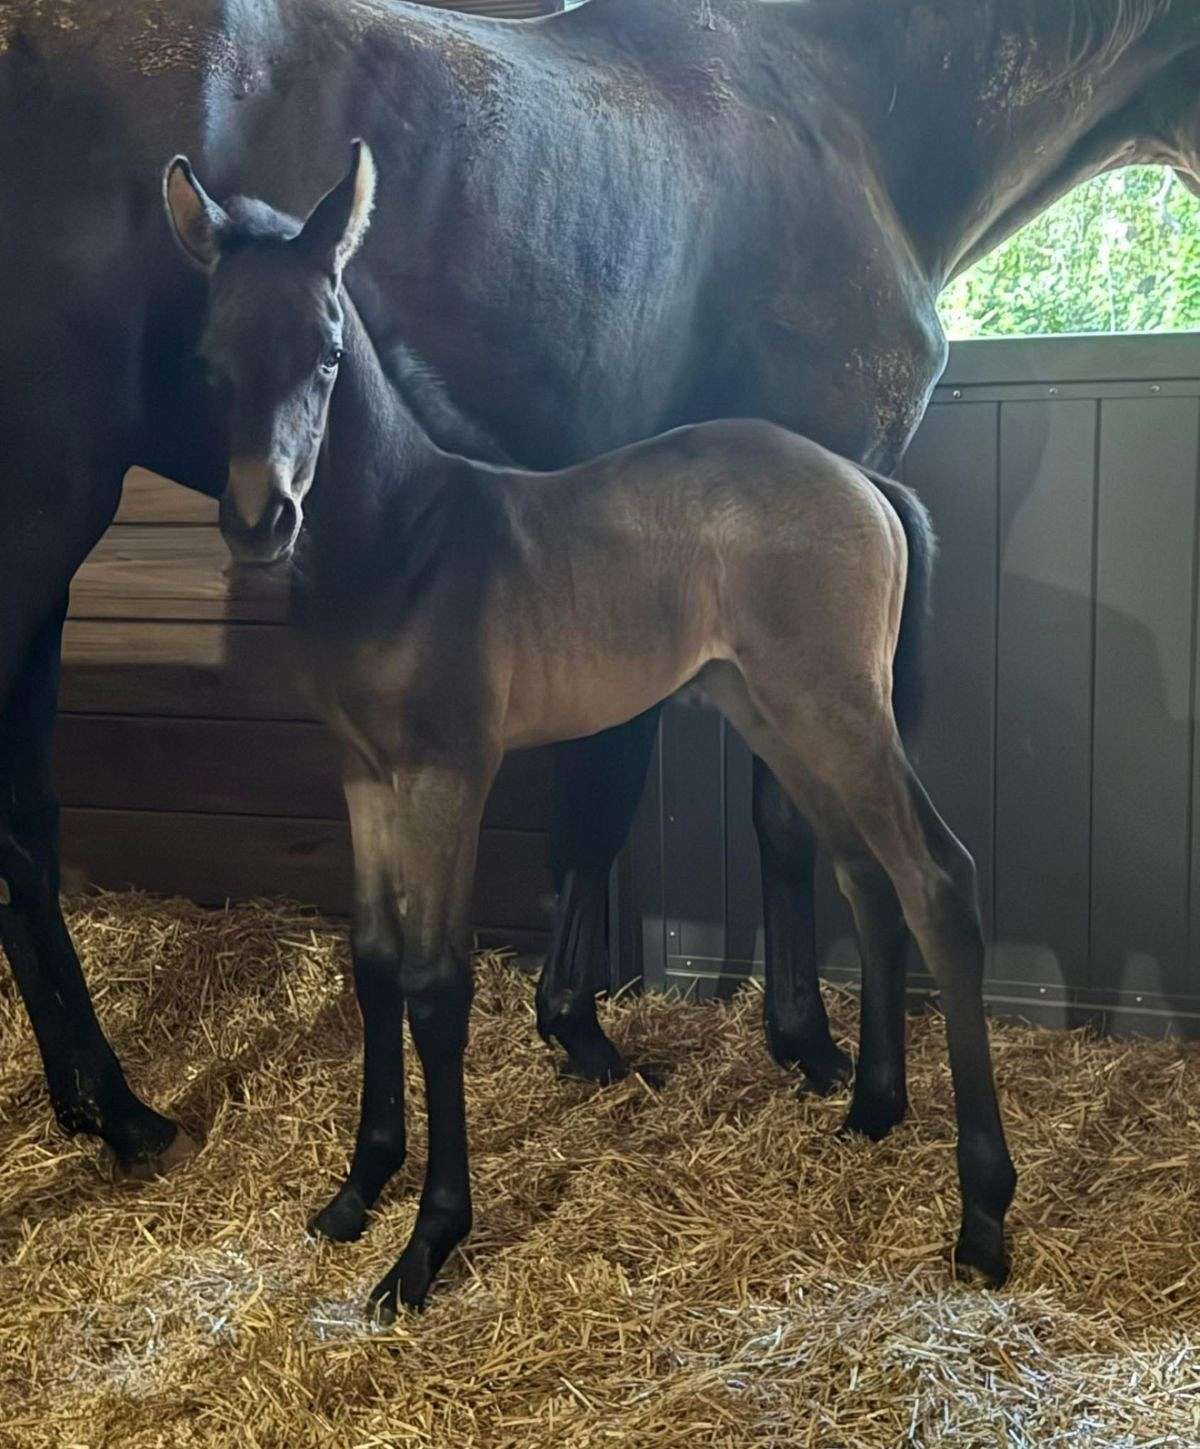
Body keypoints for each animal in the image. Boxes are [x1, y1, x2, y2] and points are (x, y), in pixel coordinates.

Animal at [2, 0, 1198, 1180]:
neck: (847, 106)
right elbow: (756, 812)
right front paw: (787, 1041)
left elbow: (610, 790)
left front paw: (584, 1025)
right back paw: (117, 1107)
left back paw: (95, 1106)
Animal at [161, 140, 1015, 1317]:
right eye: (208, 360)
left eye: (330, 352)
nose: (262, 519)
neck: (404, 547)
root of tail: (863, 477)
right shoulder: (365, 776)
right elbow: (374, 962)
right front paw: (357, 1188)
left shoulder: (450, 775)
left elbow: (437, 987)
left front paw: (428, 1242)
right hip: (780, 712)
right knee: (863, 873)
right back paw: (872, 1110)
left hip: (838, 708)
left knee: (938, 877)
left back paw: (983, 1213)